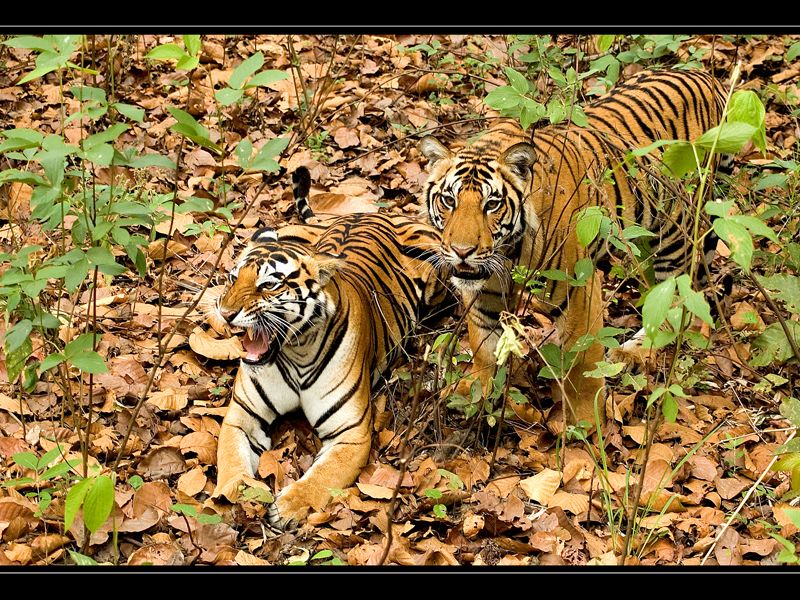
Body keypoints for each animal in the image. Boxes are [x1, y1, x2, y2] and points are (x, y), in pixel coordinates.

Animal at [211, 167, 454, 528]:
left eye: (268, 284)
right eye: (232, 278)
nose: (226, 313)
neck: (296, 352)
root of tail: (369, 212)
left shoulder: (351, 432)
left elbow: (323, 476)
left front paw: (288, 506)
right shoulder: (243, 415)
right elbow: (230, 460)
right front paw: (230, 496)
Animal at [417, 69, 727, 428]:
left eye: (492, 204)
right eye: (448, 200)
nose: (462, 250)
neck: (507, 256)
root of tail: (706, 75)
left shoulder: (578, 289)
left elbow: (583, 363)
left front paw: (586, 424)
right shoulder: (485, 293)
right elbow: (483, 347)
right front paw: (478, 396)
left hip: (676, 229)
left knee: (673, 300)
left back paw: (633, 352)